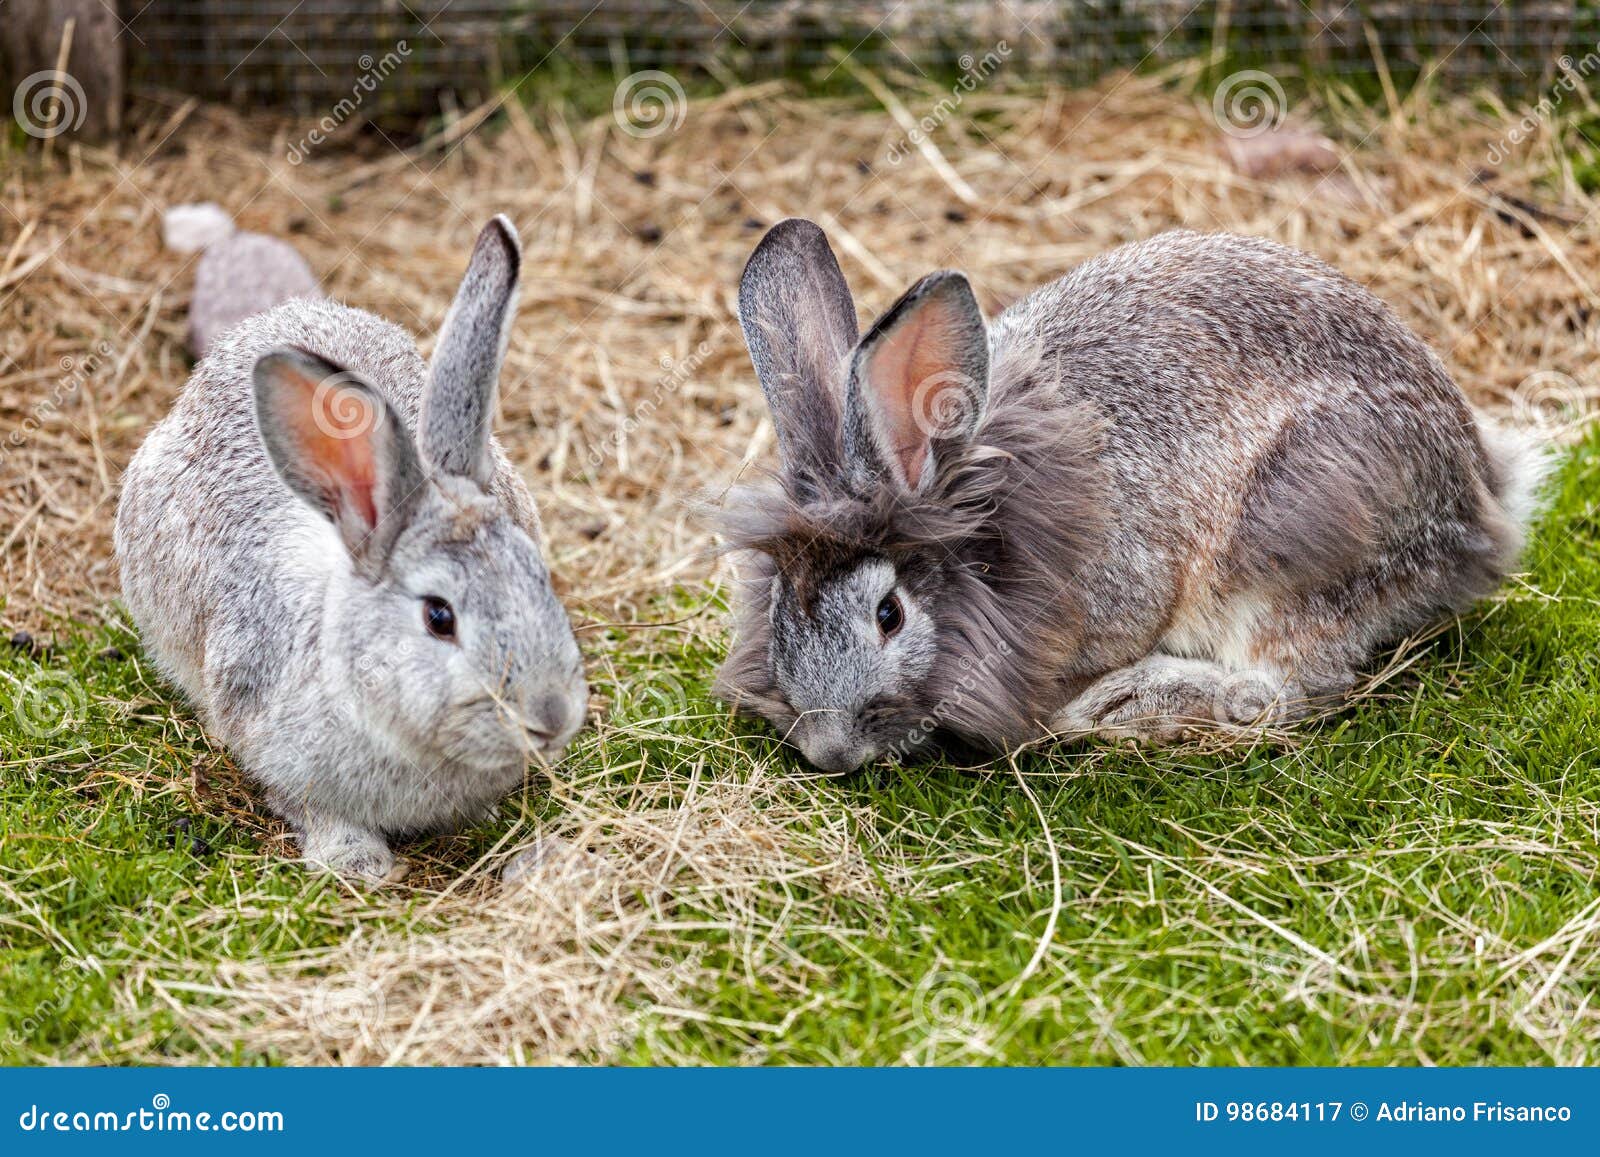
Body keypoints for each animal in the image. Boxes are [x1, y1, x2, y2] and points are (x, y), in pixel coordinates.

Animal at [715, 219, 1549, 773]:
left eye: (889, 615)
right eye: (780, 605)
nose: (828, 751)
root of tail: (1481, 505)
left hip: (1297, 533)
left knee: (1284, 690)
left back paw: (1126, 705)